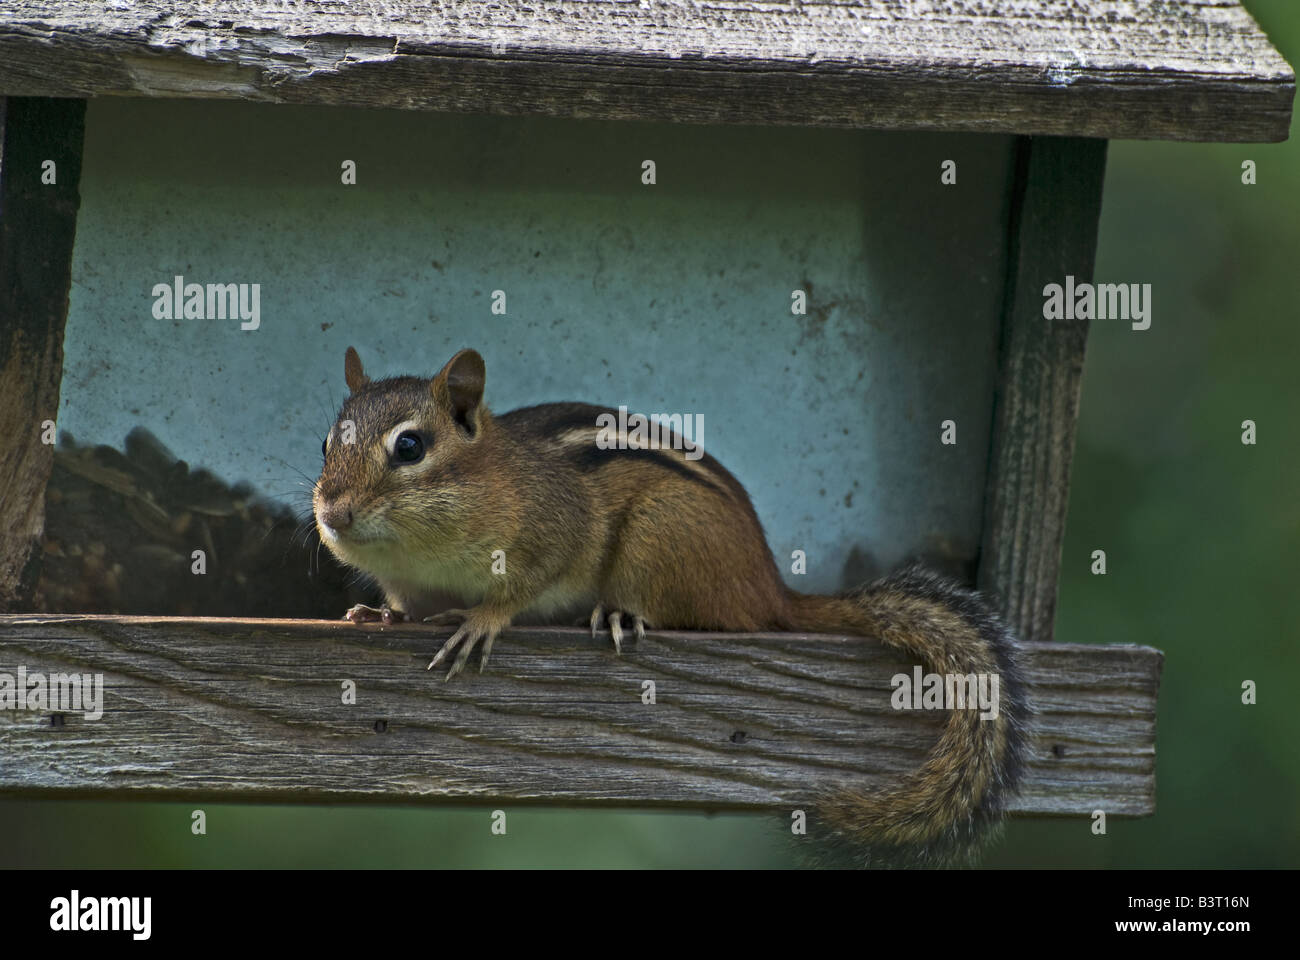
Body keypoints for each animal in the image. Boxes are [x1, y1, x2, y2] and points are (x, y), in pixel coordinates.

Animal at [313, 346, 1030, 865]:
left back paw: (620, 614)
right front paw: (381, 616)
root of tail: (770, 585)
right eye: (324, 445)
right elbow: (404, 604)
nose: (331, 512)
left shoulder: (554, 530)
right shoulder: (407, 580)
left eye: (410, 447)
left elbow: (522, 586)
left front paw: (480, 620)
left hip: (660, 534)